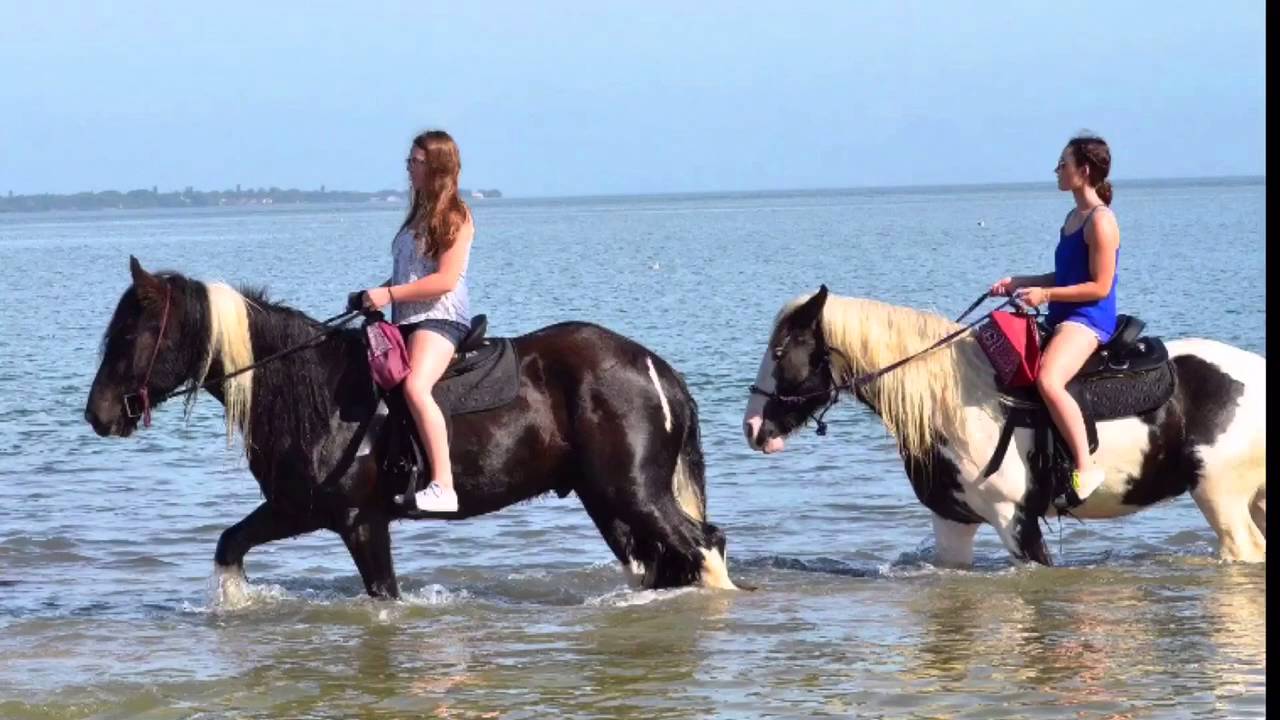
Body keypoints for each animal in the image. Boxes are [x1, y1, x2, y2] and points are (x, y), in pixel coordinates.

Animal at [85, 257, 739, 599]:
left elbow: (383, 595)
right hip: (607, 499)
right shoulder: (297, 509)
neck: (313, 390)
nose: (98, 414)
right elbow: (229, 546)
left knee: (706, 545)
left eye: (130, 334)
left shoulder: (360, 521)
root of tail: (654, 367)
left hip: (635, 492)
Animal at [742, 285, 1266, 566]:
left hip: (1221, 498)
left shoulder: (1016, 520)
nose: (752, 426)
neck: (956, 403)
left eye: (781, 352)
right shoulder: (952, 521)